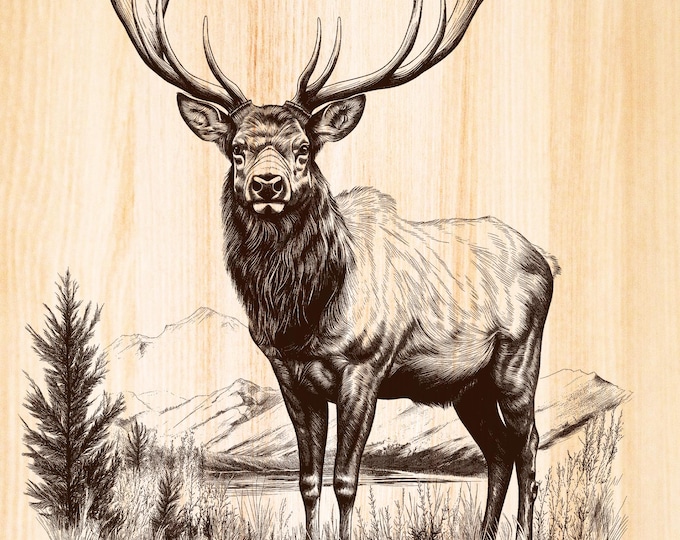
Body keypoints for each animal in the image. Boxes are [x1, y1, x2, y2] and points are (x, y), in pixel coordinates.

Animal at [112, 1, 559, 539]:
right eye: (237, 148)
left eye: (303, 147)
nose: (267, 184)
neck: (304, 317)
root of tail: (549, 260)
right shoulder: (290, 376)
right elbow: (307, 481)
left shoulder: (366, 365)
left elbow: (346, 480)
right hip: (465, 386)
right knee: (497, 450)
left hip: (518, 360)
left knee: (528, 445)